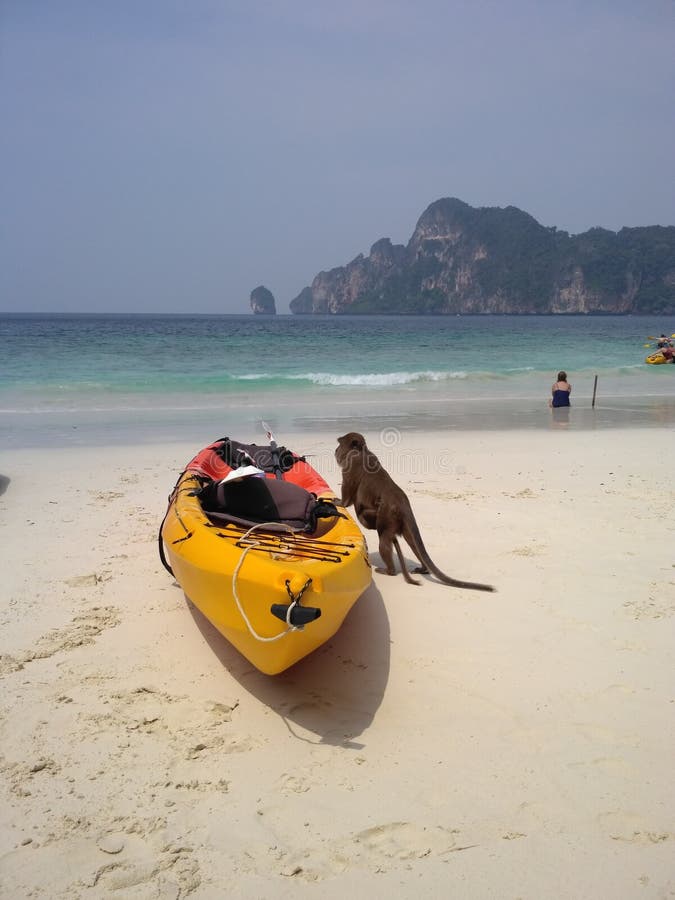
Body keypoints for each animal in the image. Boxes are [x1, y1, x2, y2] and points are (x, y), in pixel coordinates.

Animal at [335, 432, 495, 592]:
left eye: (340, 444)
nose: (336, 451)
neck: (362, 452)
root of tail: (402, 502)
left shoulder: (350, 465)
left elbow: (348, 489)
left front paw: (340, 503)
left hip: (387, 516)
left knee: (383, 538)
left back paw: (389, 570)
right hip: (400, 520)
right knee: (411, 541)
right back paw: (423, 568)